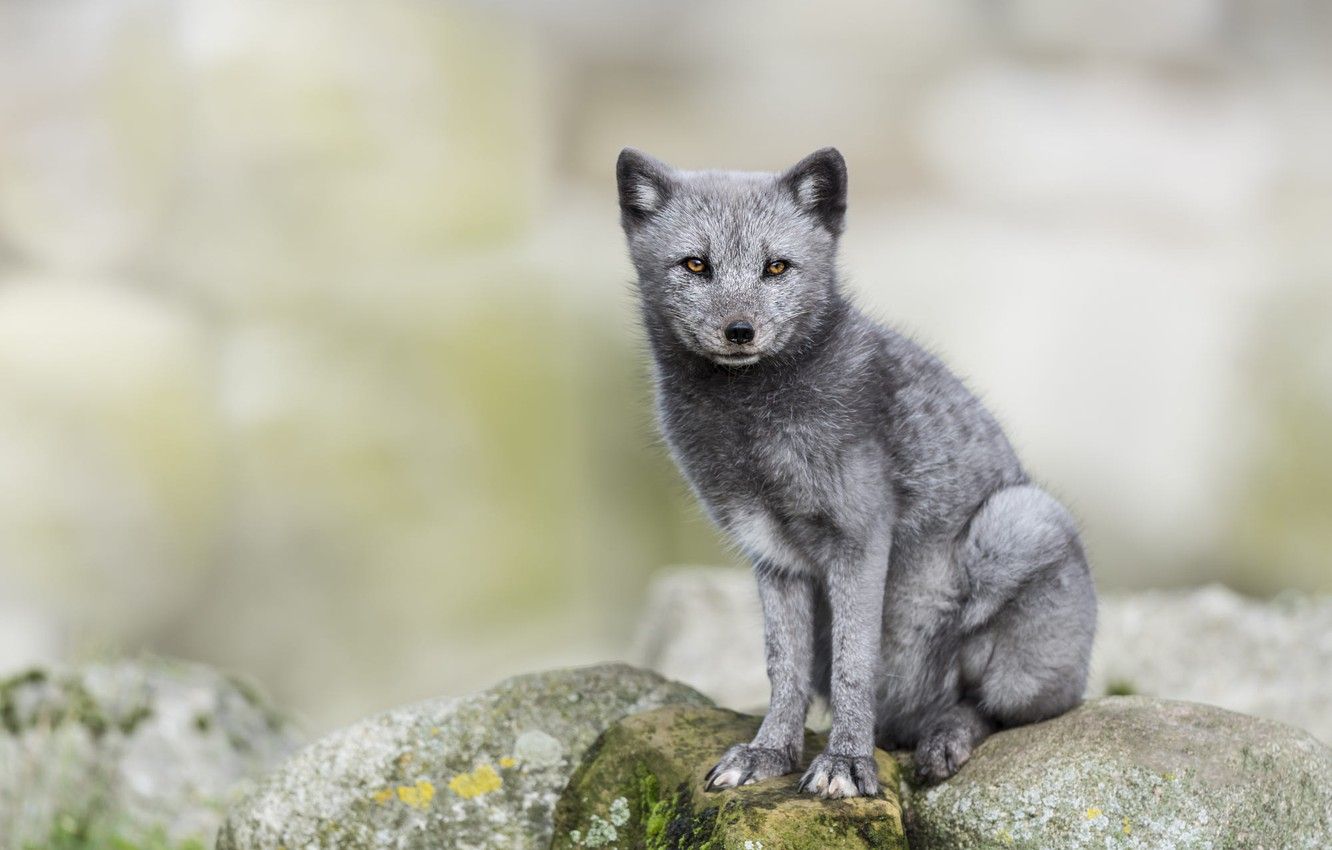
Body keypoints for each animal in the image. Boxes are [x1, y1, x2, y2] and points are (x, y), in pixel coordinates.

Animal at [616, 146, 1097, 796]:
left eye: (776, 267)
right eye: (695, 264)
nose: (740, 332)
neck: (750, 423)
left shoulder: (860, 537)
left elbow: (855, 662)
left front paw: (845, 762)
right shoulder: (772, 555)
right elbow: (782, 668)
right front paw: (770, 752)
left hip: (1021, 527)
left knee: (994, 710)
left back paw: (942, 738)